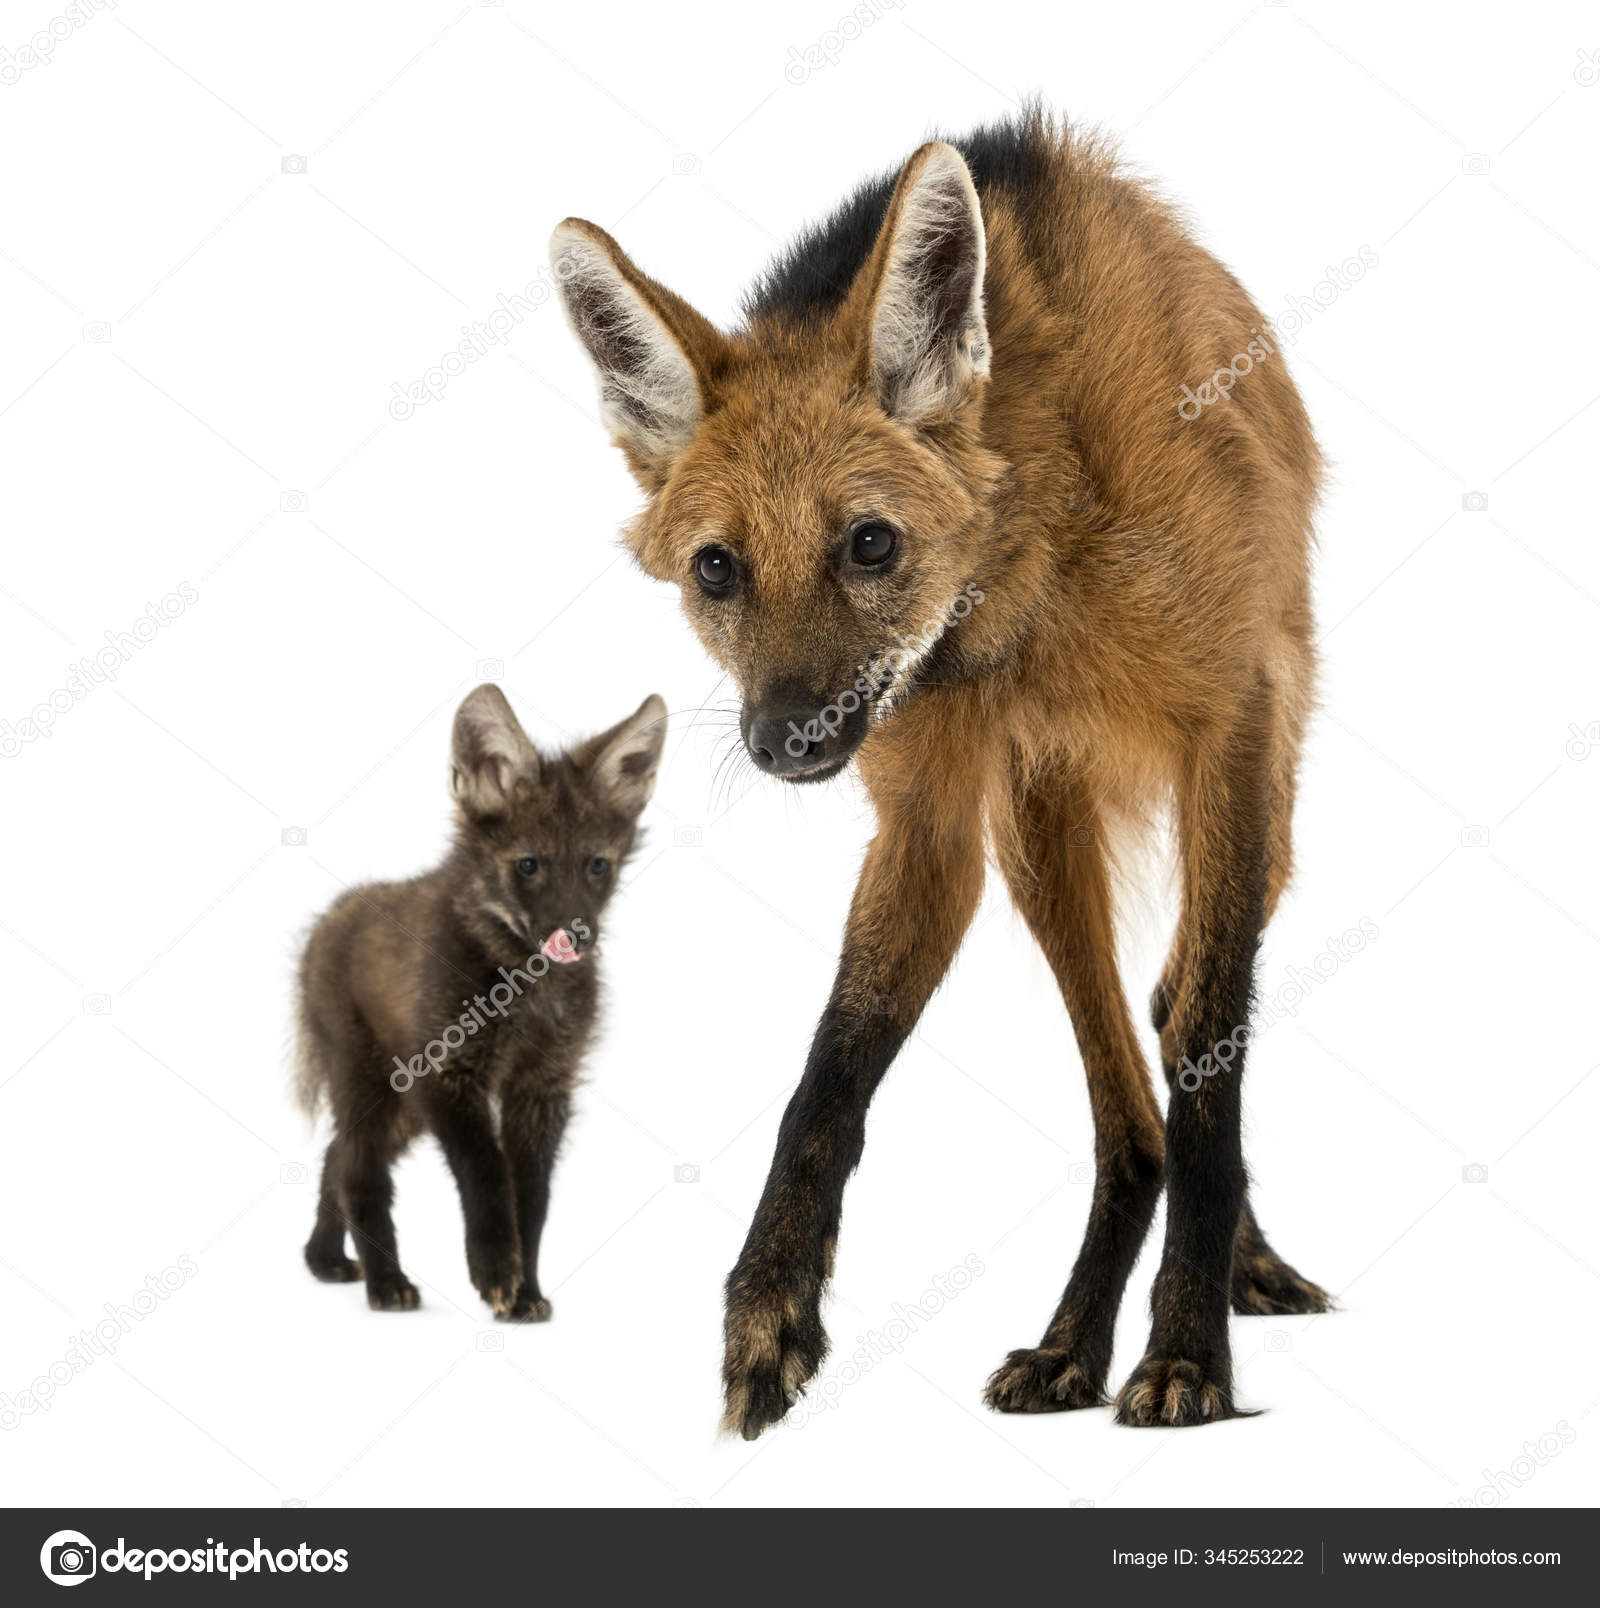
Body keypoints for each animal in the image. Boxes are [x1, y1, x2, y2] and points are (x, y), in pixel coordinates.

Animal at [295, 685, 666, 1319]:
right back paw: (386, 1284)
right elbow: (488, 1173)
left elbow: (532, 1201)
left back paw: (325, 1260)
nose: (576, 937)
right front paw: (495, 1271)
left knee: (334, 1160)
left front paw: (526, 1294)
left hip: (400, 1108)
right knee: (360, 1172)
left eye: (597, 865)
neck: (523, 993)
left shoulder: (543, 1087)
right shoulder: (447, 1074)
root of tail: (328, 919)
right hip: (371, 1081)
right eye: (528, 865)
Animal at [551, 108, 1328, 1436]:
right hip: (1036, 844)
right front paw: (770, 1305)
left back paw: (1203, 1280)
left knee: (1174, 1015)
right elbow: (829, 1069)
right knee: (1126, 1113)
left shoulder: (1229, 718)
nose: (786, 739)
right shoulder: (928, 808)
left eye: (870, 544)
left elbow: (1207, 1042)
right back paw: (1071, 1343)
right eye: (718, 570)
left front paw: (1187, 1351)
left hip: (1258, 809)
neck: (1029, 584)